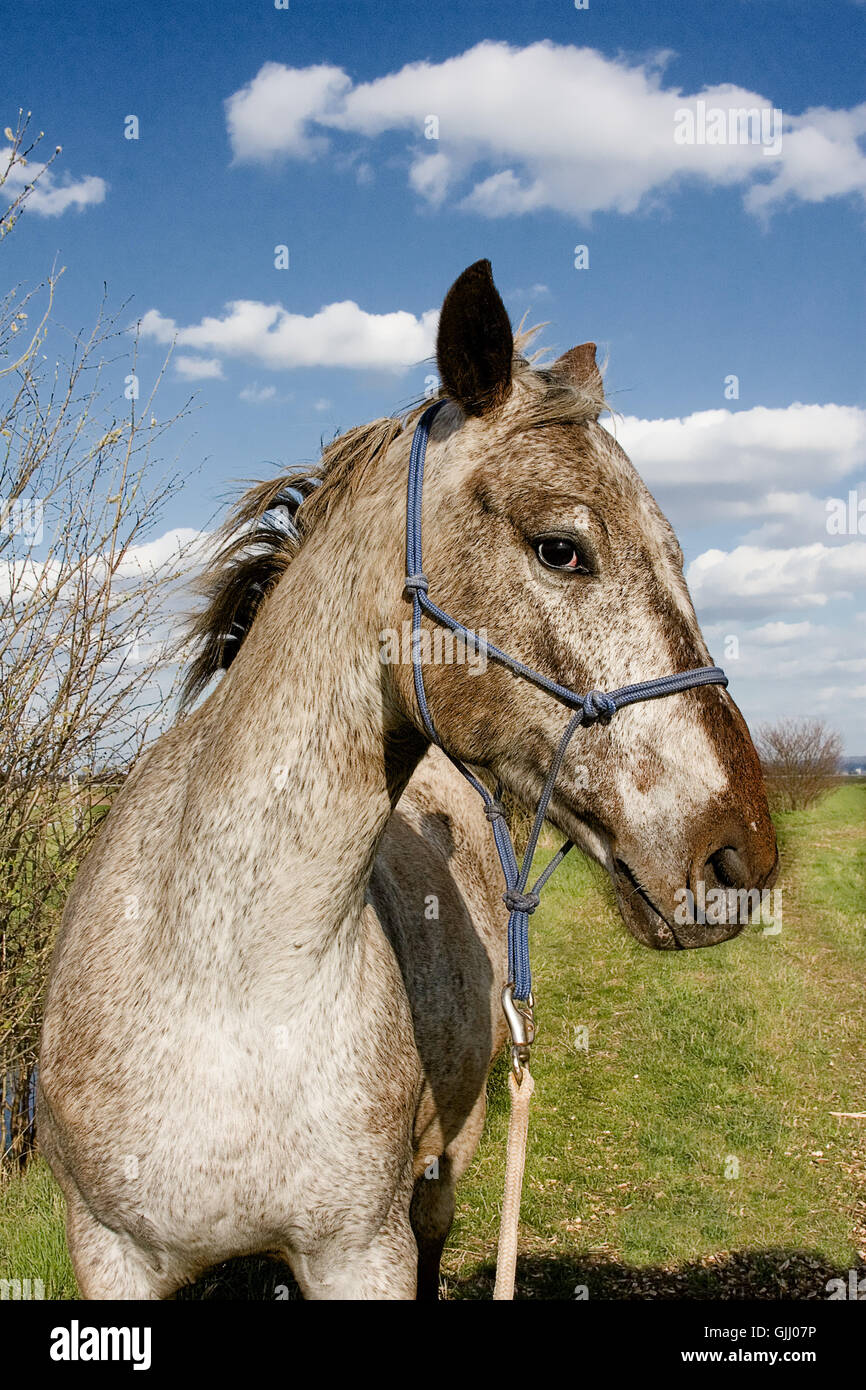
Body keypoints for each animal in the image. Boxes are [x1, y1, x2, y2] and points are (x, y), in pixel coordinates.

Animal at [38, 260, 778, 1299]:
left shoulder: (365, 1251)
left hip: (447, 1164)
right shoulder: (109, 1254)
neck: (223, 987)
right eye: (561, 548)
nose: (741, 857)